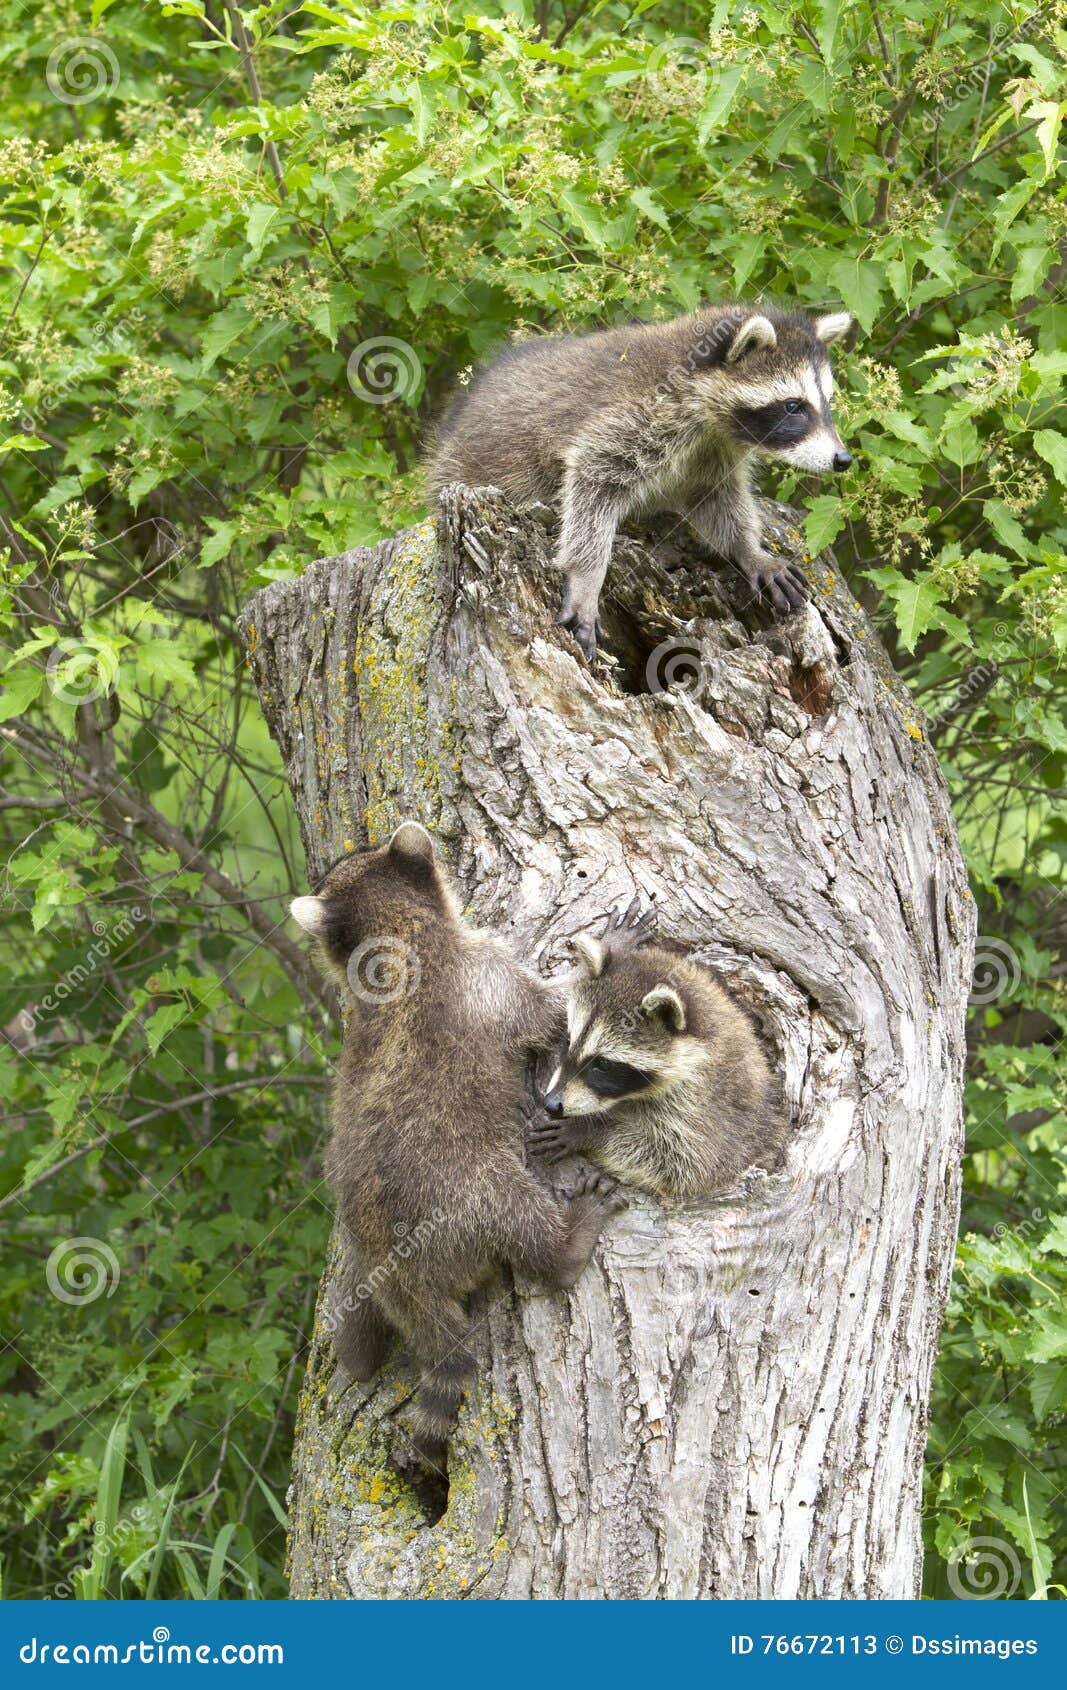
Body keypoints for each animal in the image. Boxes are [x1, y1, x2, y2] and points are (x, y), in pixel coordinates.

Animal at [290, 822, 626, 1472]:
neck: (392, 935)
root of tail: (401, 1277)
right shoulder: (488, 978)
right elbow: (552, 1015)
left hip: (355, 1250)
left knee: (352, 1316)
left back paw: (355, 1350)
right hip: (475, 1193)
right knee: (525, 1221)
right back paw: (565, 1243)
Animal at [428, 304, 853, 660]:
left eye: (827, 404)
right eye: (794, 406)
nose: (843, 459)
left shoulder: (711, 451)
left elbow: (716, 499)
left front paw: (748, 549)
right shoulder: (643, 411)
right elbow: (591, 481)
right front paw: (585, 578)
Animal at [529, 914, 788, 1203]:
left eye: (604, 1064)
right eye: (569, 1041)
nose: (551, 1103)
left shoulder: (706, 1106)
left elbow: (684, 1166)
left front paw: (589, 1131)